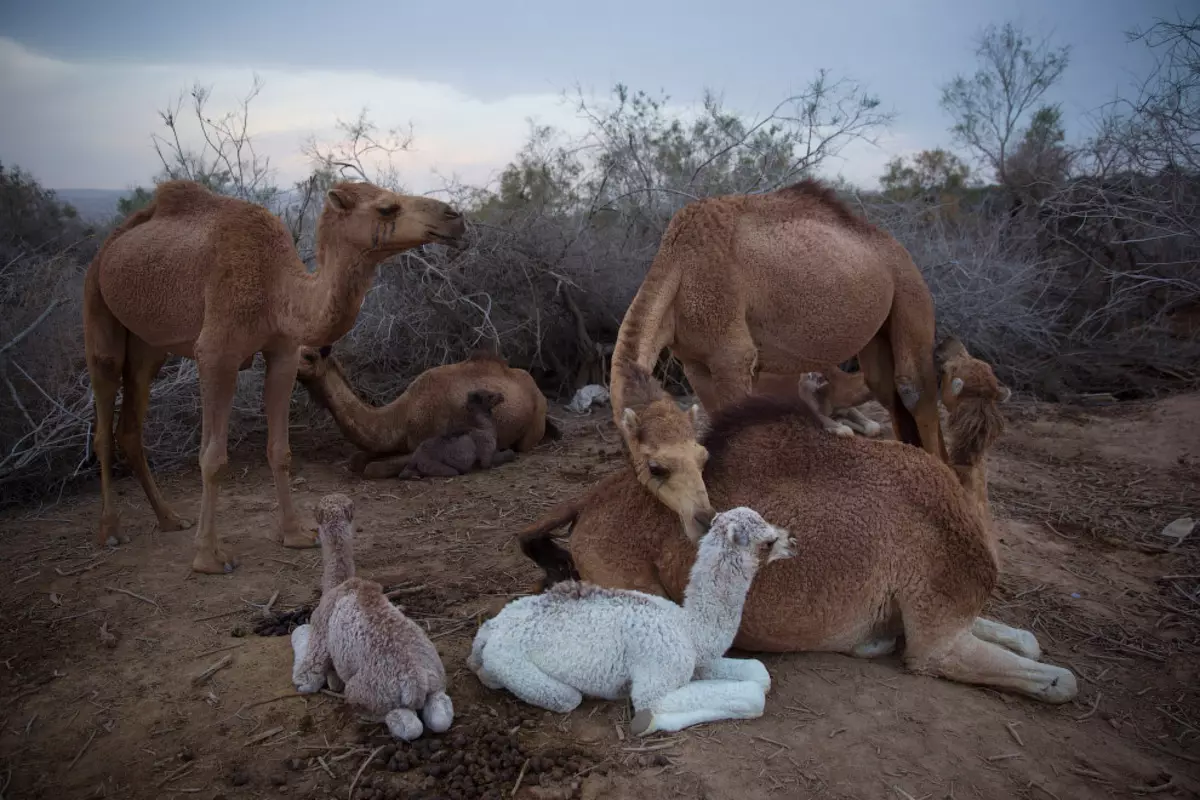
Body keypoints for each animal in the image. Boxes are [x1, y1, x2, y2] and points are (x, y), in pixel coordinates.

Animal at [84, 179, 465, 575]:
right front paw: (209, 557)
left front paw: (296, 534)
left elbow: (280, 449)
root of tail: (114, 240)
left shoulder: (283, 352)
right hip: (97, 304)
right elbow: (212, 457)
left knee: (131, 421)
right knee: (104, 409)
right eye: (387, 208)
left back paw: (170, 518)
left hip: (148, 346)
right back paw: (110, 530)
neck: (277, 289)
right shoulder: (216, 355)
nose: (455, 218)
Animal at [292, 345, 554, 474]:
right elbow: (357, 459)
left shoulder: (425, 442)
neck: (400, 417)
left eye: (309, 356)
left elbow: (374, 467)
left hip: (534, 425)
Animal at [609, 181, 945, 542]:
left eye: (699, 459)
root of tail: (896, 247)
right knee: (888, 393)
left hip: (910, 292)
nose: (701, 519)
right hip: (877, 337)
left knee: (914, 390)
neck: (680, 269)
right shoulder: (694, 363)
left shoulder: (733, 354)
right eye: (655, 467)